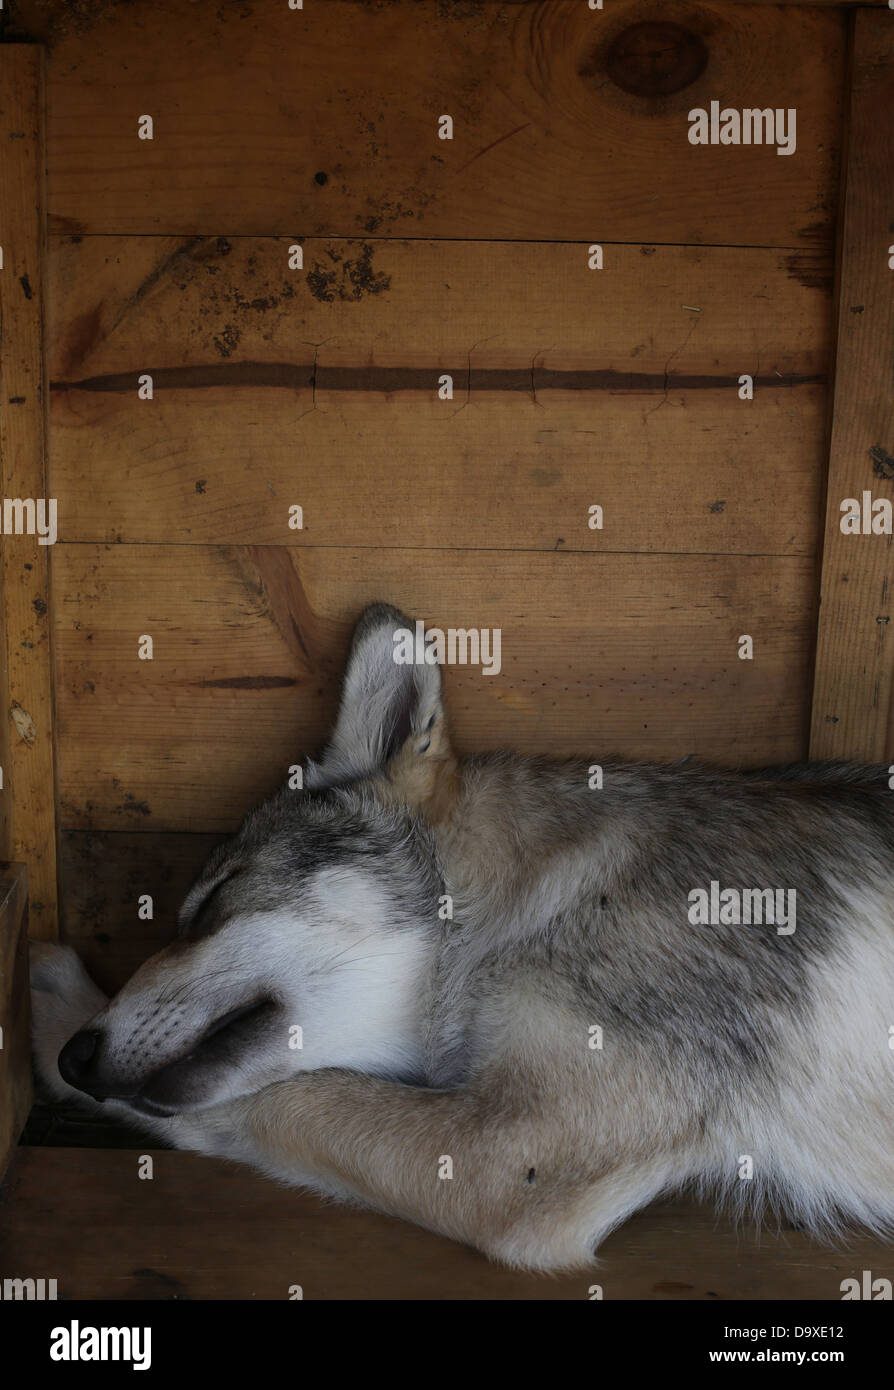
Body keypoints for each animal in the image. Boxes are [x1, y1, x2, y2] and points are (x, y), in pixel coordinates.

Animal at [29, 603, 894, 1271]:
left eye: (213, 902)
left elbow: (287, 1098)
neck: (542, 896)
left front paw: (50, 1003)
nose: (76, 1056)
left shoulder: (511, 1151)